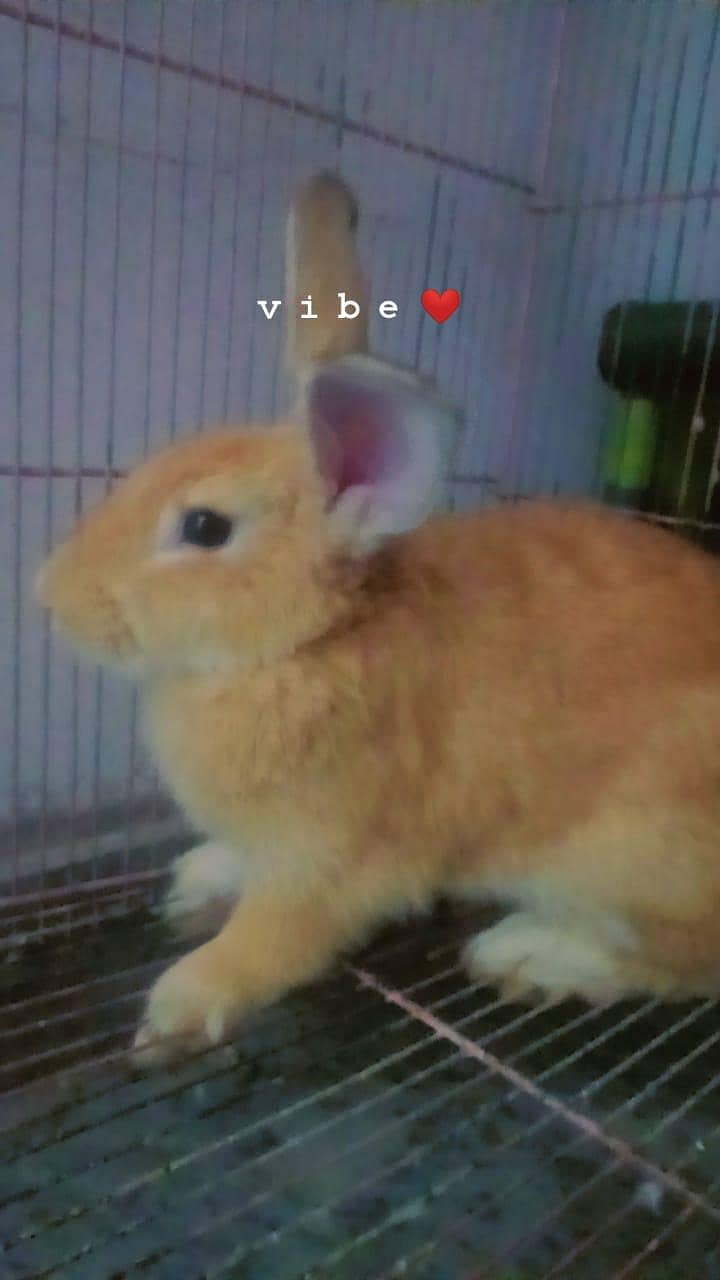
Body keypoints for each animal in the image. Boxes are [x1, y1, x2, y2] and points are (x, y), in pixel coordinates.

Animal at [35, 172, 720, 1068]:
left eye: (205, 528)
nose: (46, 596)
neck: (307, 645)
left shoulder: (339, 857)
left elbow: (275, 938)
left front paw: (178, 1010)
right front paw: (199, 878)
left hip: (629, 858)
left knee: (682, 961)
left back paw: (531, 955)